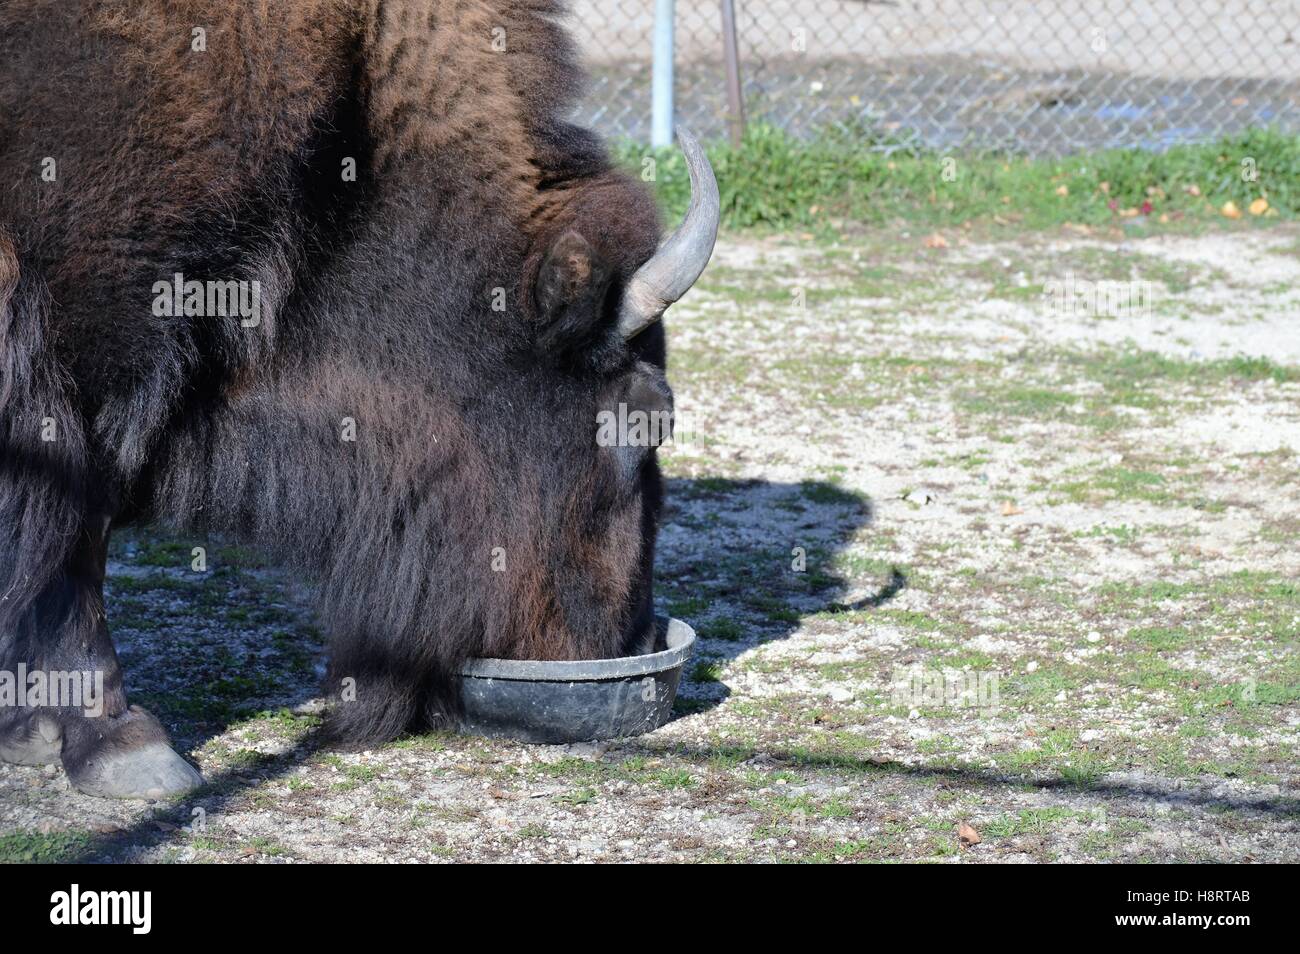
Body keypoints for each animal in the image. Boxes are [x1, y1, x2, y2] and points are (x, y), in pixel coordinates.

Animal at [0, 0, 718, 798]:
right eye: (647, 419)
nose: (632, 635)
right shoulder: (85, 350)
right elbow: (77, 534)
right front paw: (124, 745)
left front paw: (29, 729)